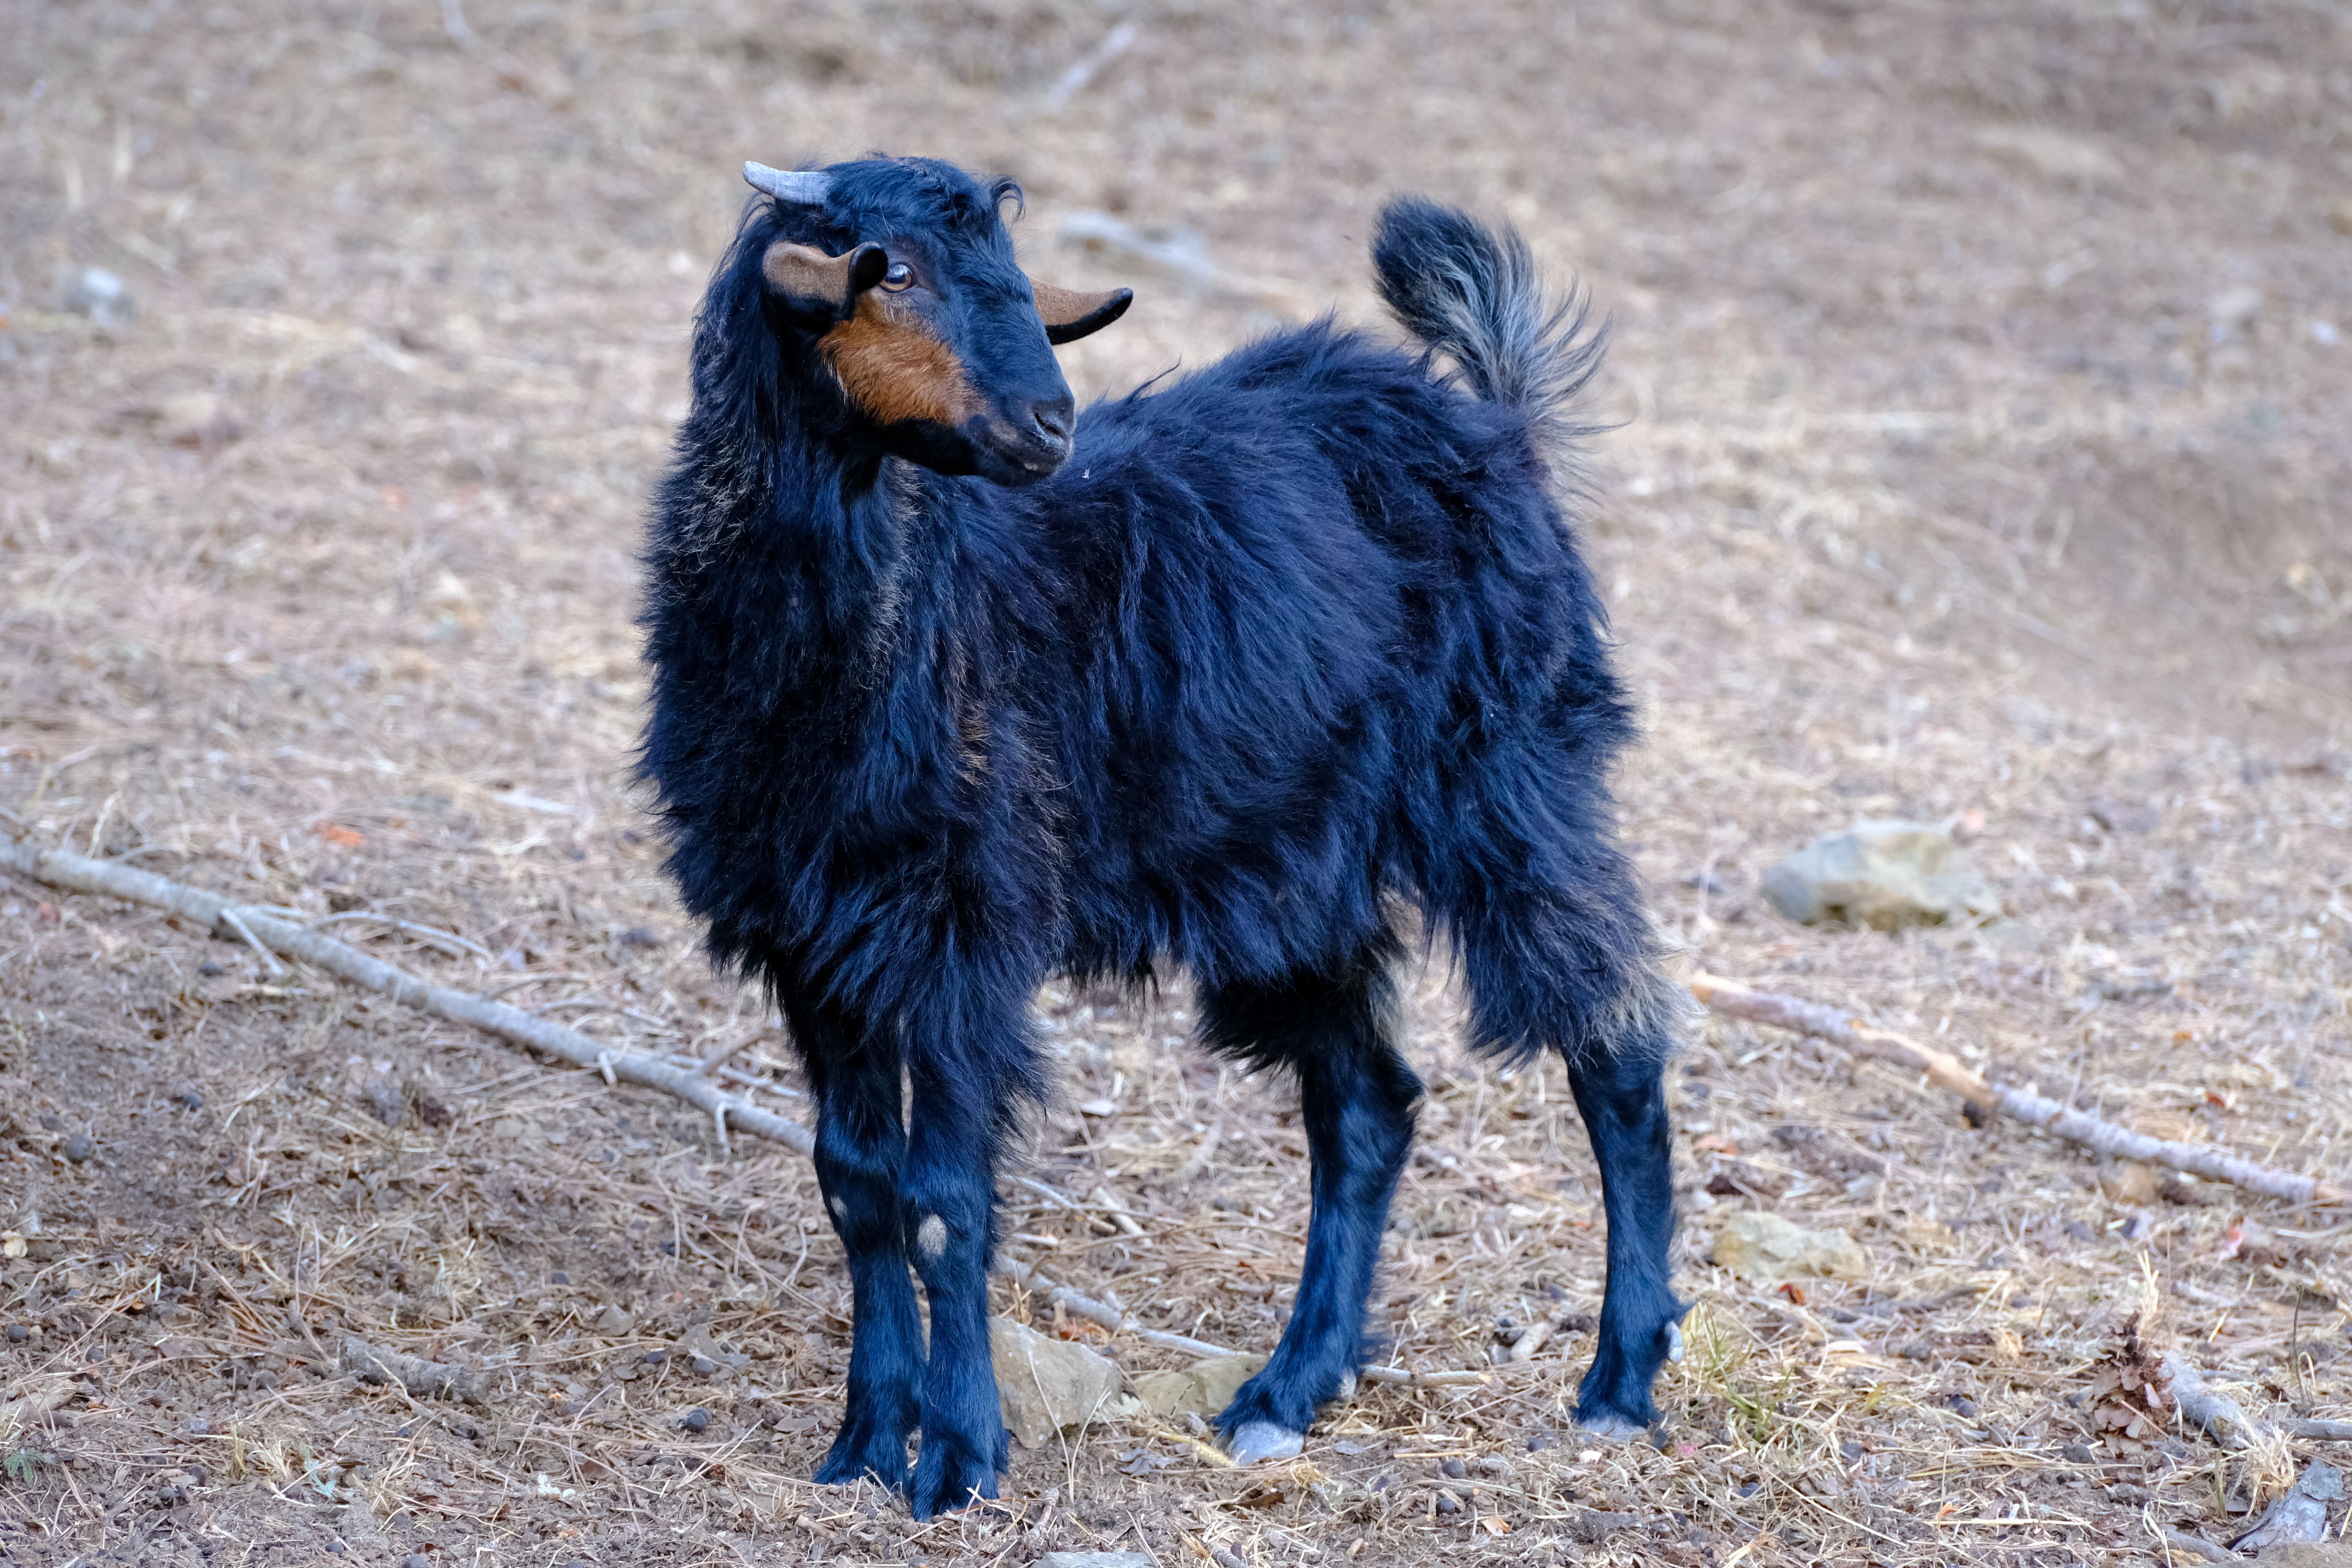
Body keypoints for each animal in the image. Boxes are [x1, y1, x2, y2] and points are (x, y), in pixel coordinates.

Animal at [641, 155, 1685, 1517]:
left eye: (1015, 273)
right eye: (891, 270)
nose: (1050, 424)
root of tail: (1499, 424)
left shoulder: (964, 934)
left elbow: (944, 1202)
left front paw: (960, 1458)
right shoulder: (816, 941)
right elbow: (857, 1191)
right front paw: (865, 1443)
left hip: (1510, 786)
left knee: (1616, 1044)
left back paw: (1619, 1380)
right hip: (1296, 876)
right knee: (1370, 1105)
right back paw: (1288, 1392)